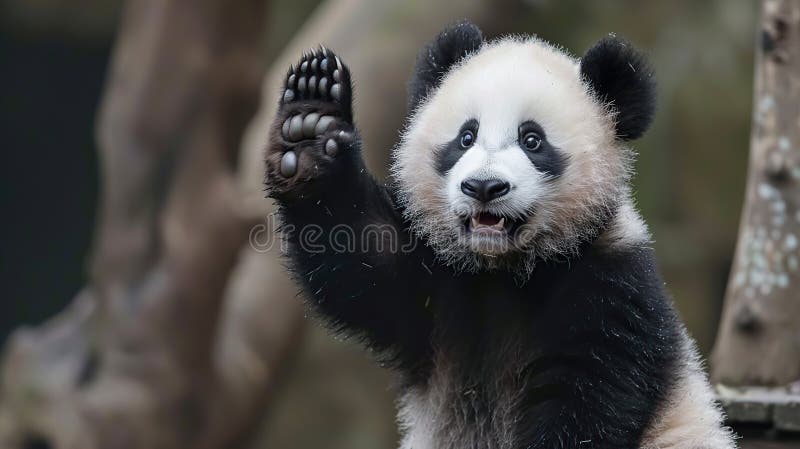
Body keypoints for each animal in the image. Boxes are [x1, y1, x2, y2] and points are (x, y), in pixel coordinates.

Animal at [265, 20, 735, 449]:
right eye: (465, 136)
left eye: (532, 140)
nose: (484, 187)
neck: (503, 270)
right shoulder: (434, 282)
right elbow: (363, 258)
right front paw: (310, 129)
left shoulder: (611, 289)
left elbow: (585, 403)